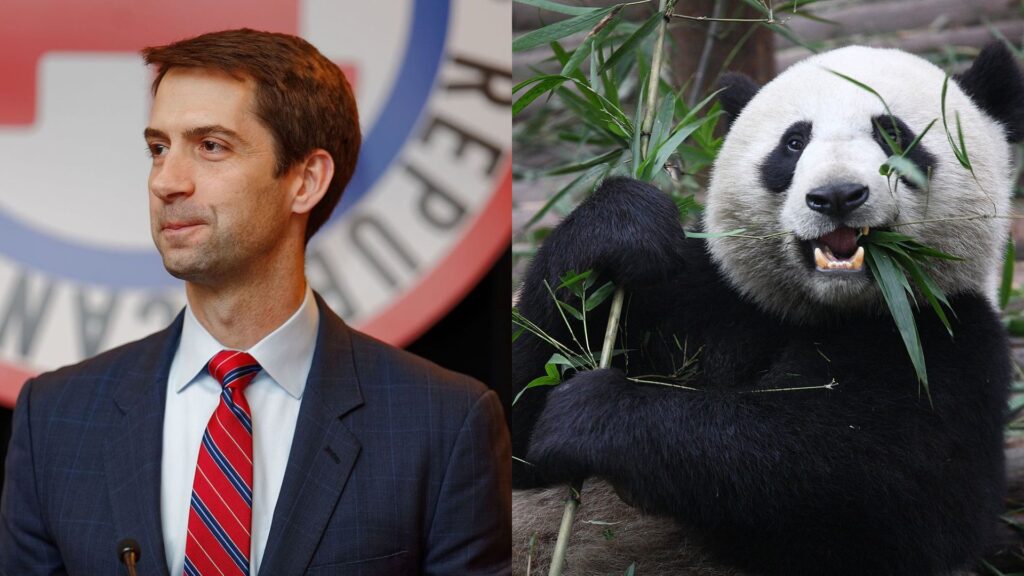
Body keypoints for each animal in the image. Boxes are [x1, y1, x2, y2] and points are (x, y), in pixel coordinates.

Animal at [512, 42, 1024, 576]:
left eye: (892, 134)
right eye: (794, 143)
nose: (836, 196)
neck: (826, 307)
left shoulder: (947, 344)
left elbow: (855, 477)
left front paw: (590, 412)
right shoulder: (702, 290)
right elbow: (522, 419)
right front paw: (623, 227)